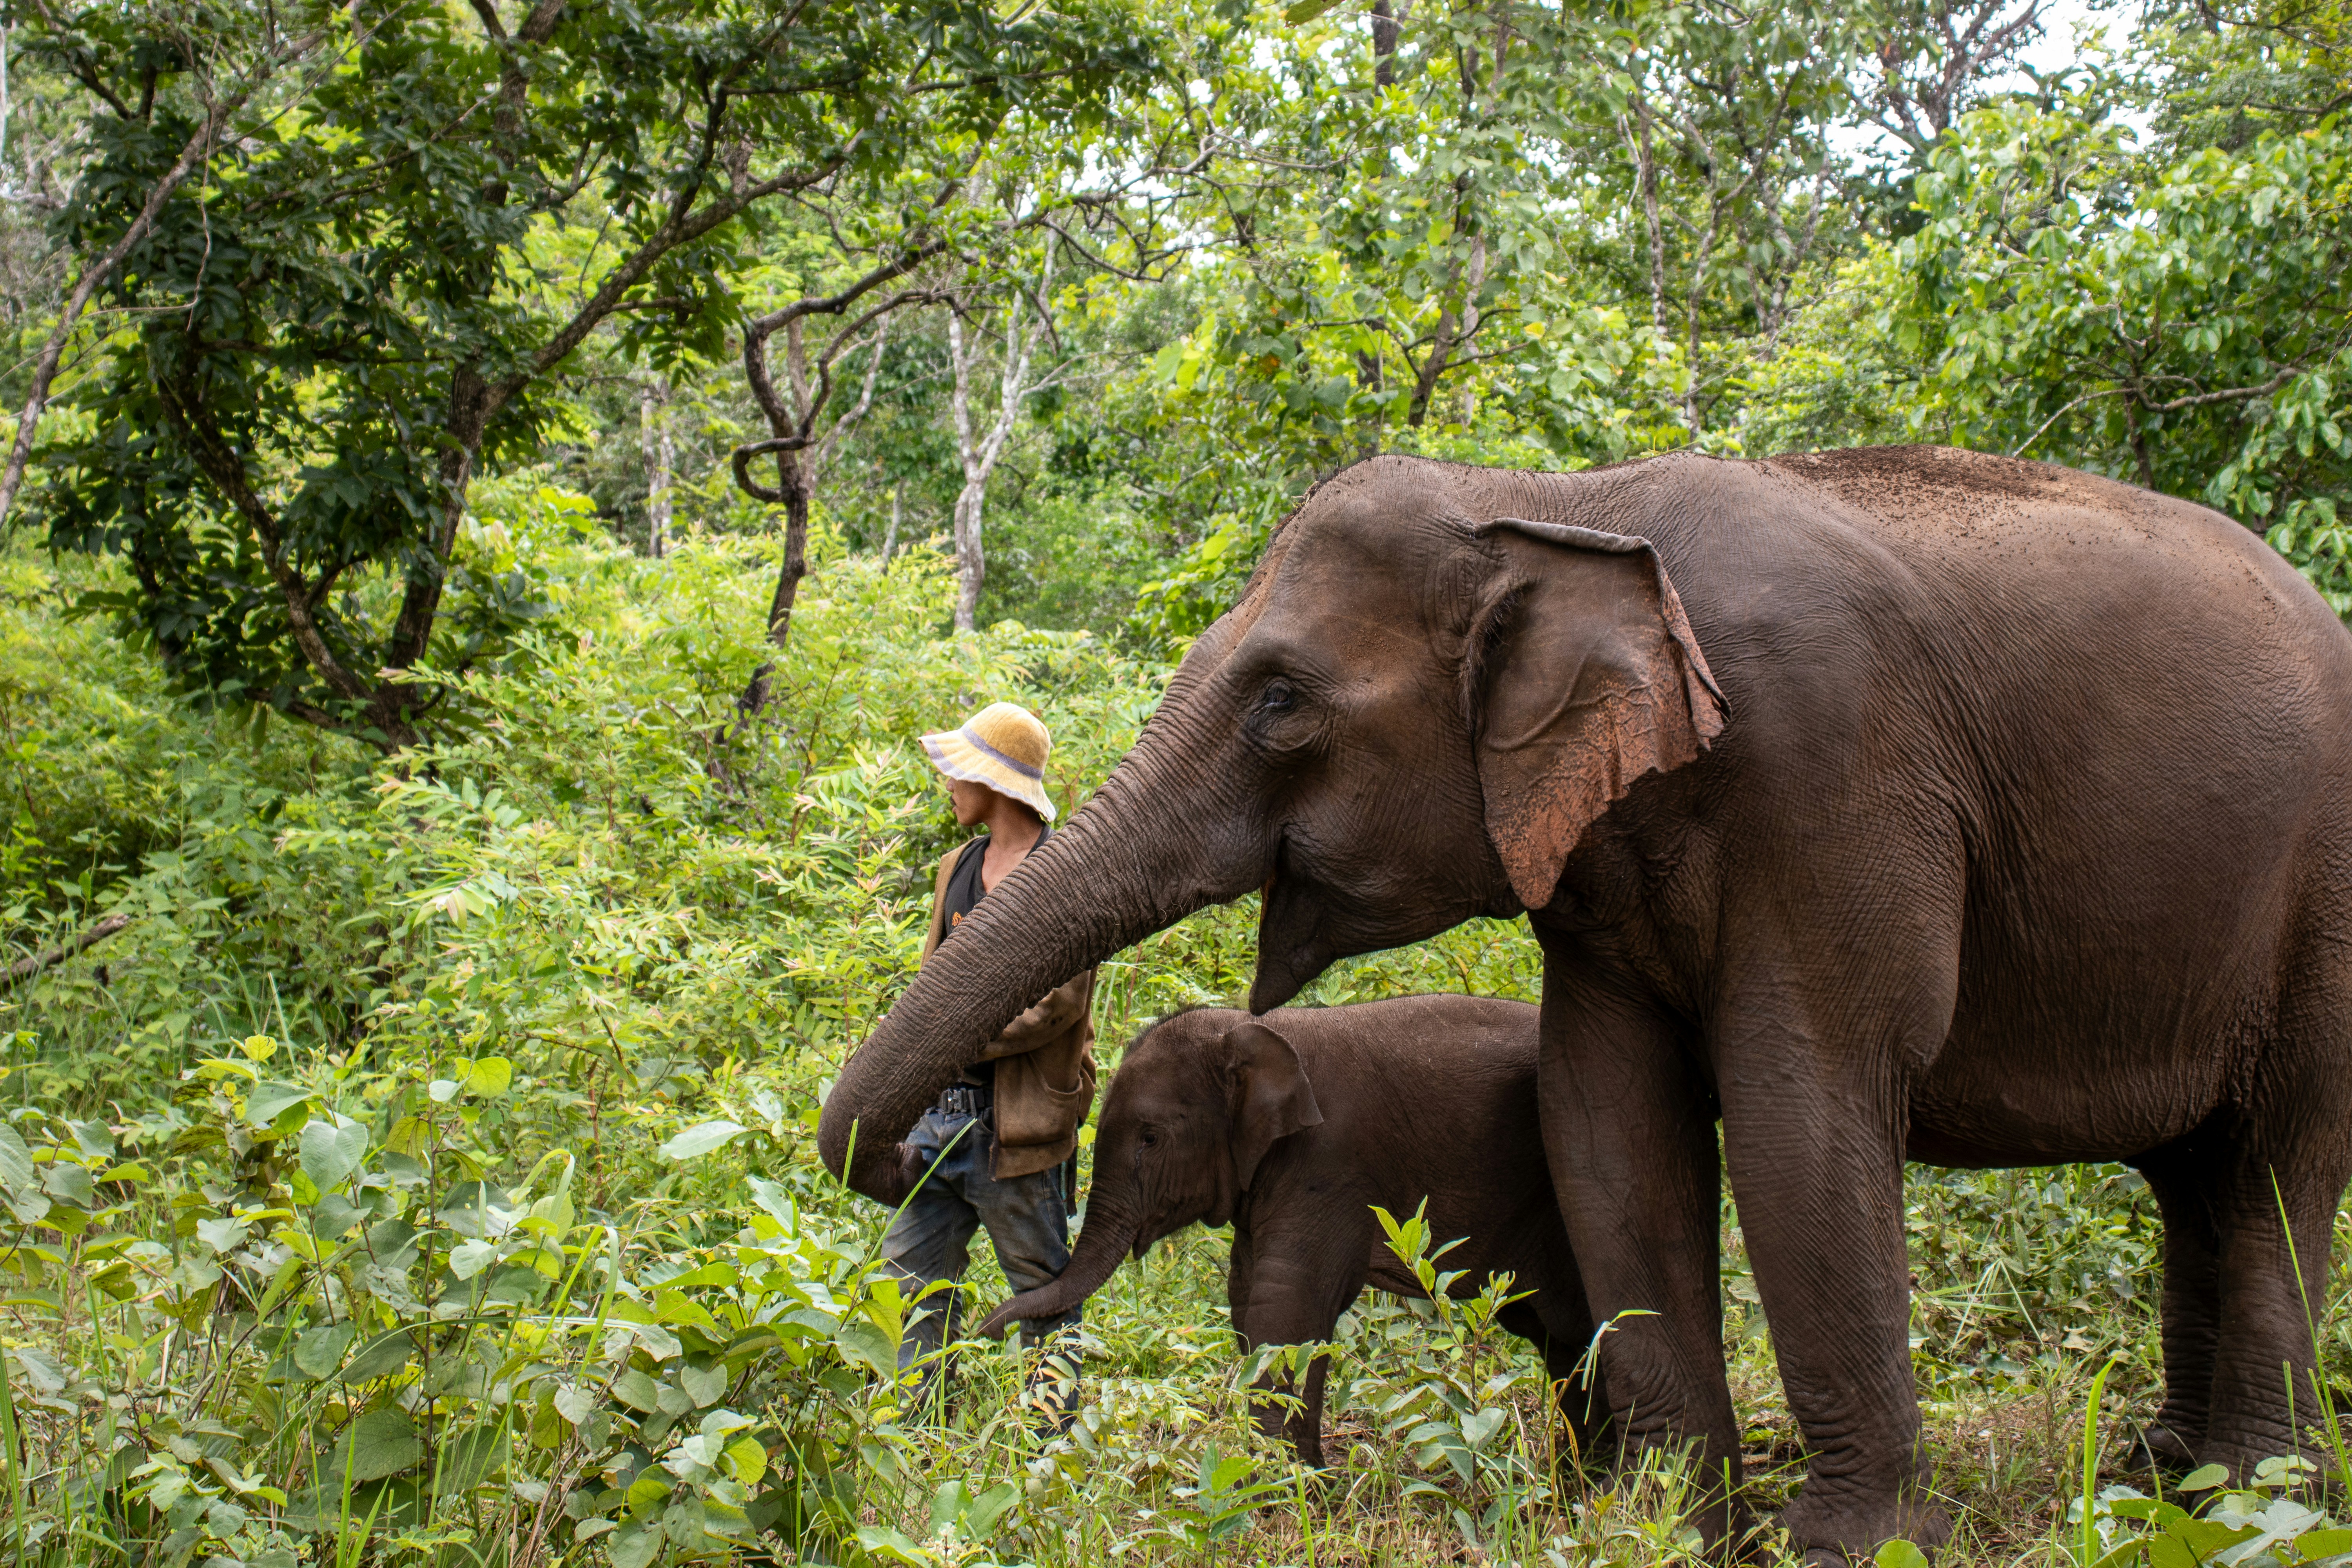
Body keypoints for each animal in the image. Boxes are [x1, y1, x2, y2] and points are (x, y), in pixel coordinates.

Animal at [972, 996, 1613, 1467]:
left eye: (1151, 1138)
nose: (980, 1329)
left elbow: (1286, 1305)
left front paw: (1292, 1486)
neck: (1253, 1028)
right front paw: (1293, 1477)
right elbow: (1246, 1293)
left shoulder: (1329, 1161)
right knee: (1564, 1341)